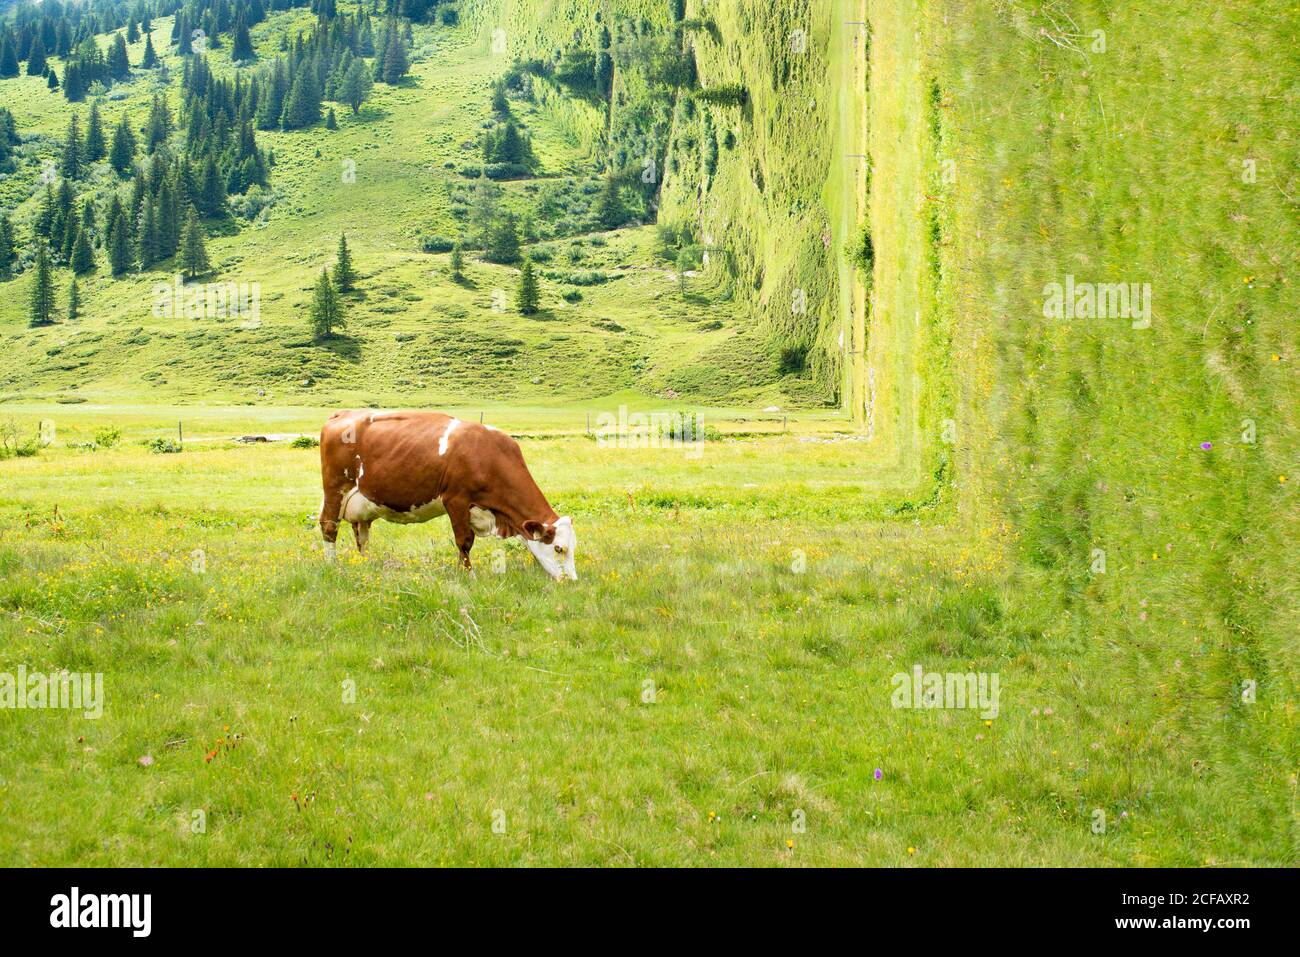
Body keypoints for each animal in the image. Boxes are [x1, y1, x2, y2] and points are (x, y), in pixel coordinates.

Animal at [317, 410, 578, 580]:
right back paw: (332, 565)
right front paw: (468, 575)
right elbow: (464, 541)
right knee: (329, 526)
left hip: (361, 502)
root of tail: (343, 413)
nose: (571, 581)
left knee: (362, 534)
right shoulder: (456, 499)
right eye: (559, 548)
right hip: (335, 488)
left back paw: (365, 564)